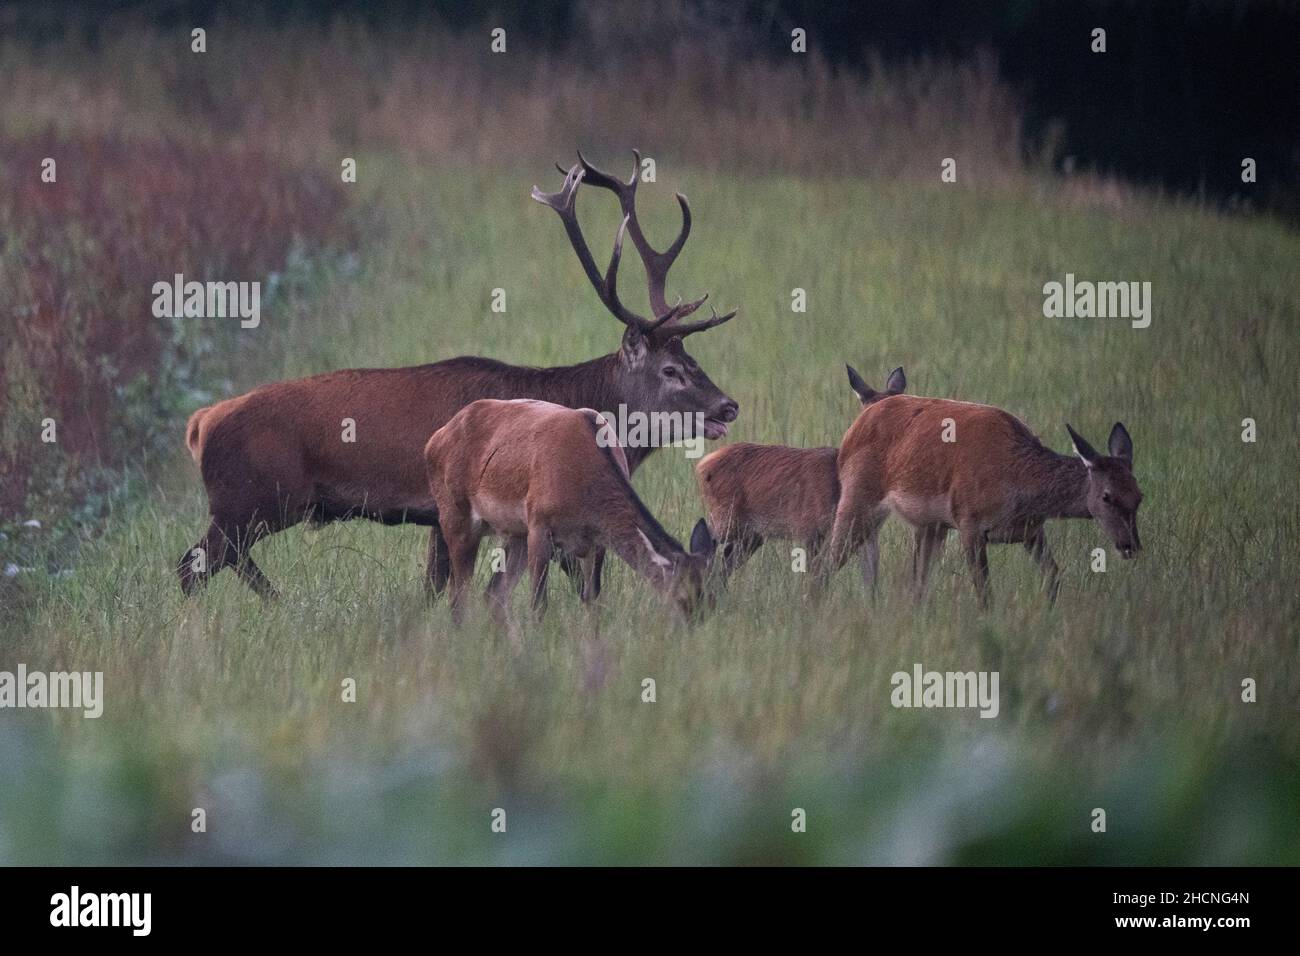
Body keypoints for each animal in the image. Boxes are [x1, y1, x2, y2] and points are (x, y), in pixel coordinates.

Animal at [178, 151, 739, 600]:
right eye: (671, 370)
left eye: (696, 361)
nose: (728, 405)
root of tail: (201, 422)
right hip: (250, 500)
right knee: (192, 565)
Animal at [425, 398, 717, 624]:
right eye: (683, 595)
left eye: (712, 595)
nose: (696, 627)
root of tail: (435, 439)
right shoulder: (539, 523)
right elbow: (538, 604)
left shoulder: (597, 540)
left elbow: (592, 600)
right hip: (454, 515)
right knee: (459, 597)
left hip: (515, 534)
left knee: (493, 595)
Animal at [694, 365, 906, 583]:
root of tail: (703, 464)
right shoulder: (813, 528)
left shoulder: (868, 534)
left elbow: (871, 579)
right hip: (724, 518)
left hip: (750, 536)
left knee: (720, 572)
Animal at [820, 394, 1142, 607]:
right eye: (1106, 496)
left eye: (1140, 496)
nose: (1131, 546)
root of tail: (855, 426)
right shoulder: (969, 521)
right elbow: (985, 591)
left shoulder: (1032, 530)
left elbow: (1053, 576)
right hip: (857, 495)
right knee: (826, 562)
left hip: (930, 525)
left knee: (916, 583)